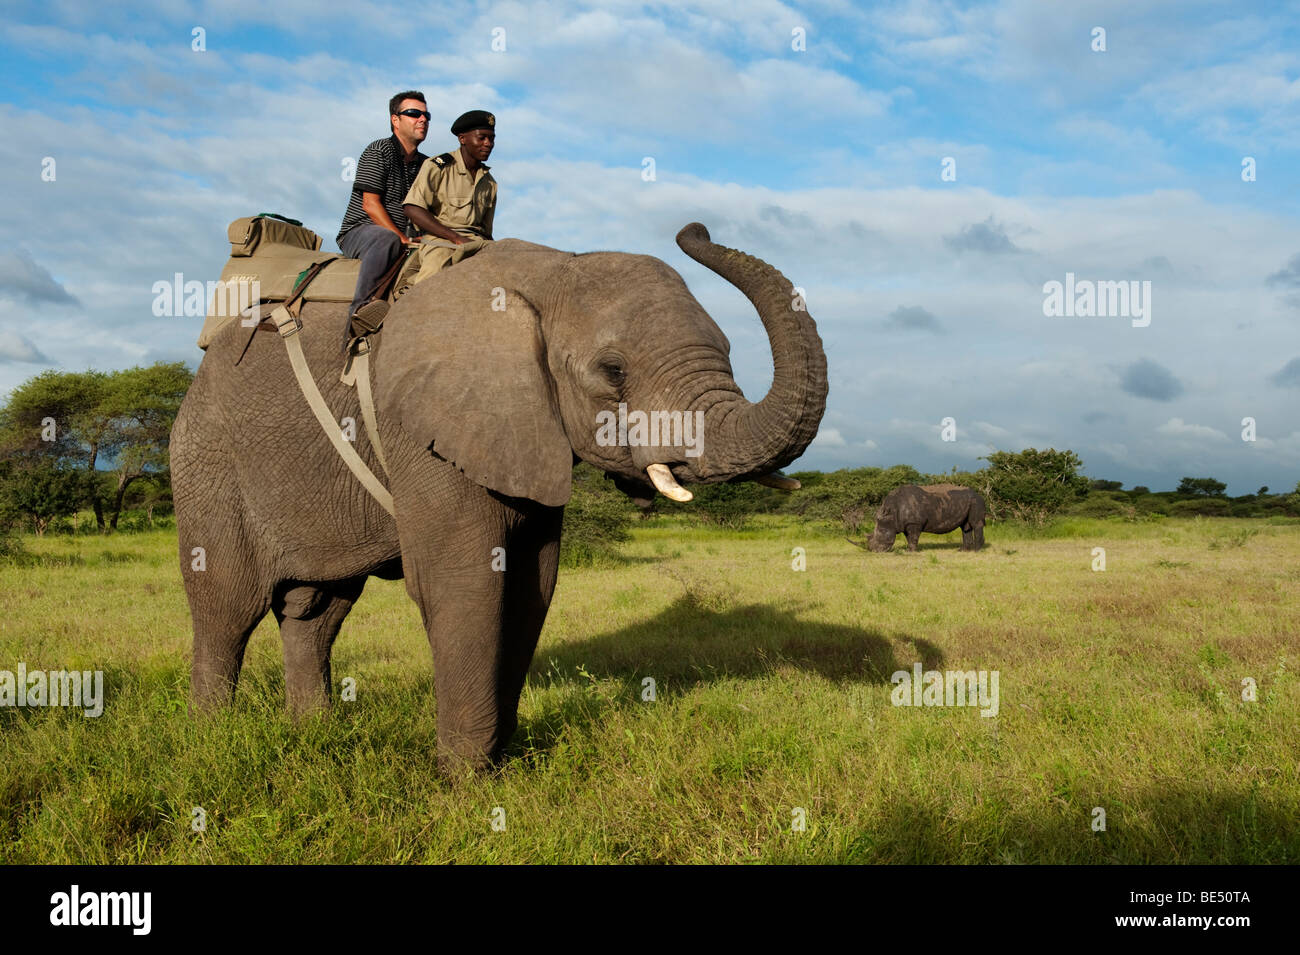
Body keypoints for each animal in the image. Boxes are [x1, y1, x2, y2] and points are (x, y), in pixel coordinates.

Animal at [171, 223, 827, 772]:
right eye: (612, 371)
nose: (695, 229)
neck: (552, 271)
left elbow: (533, 582)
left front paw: (504, 761)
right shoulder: (424, 430)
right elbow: (464, 581)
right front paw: (467, 784)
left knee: (316, 609)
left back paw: (314, 735)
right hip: (208, 458)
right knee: (227, 605)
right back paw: (211, 741)